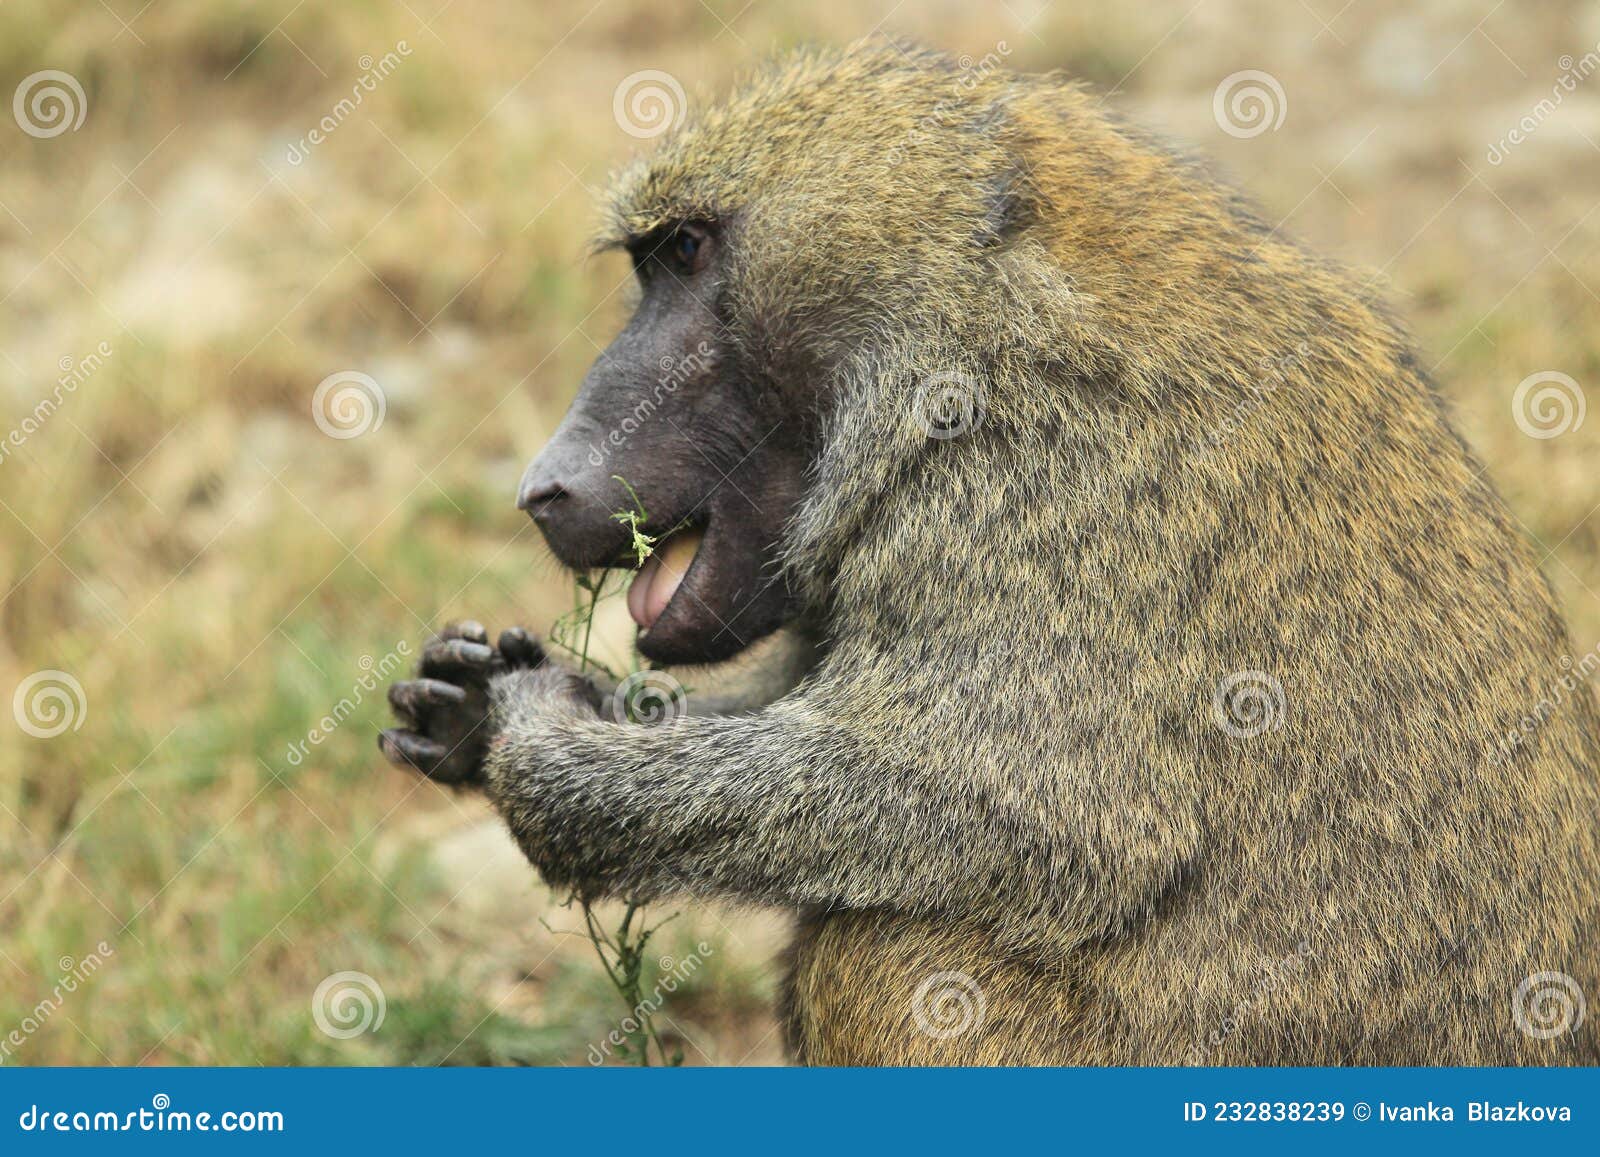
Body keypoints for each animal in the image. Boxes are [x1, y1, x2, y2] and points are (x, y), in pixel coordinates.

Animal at [379, 41, 1600, 1065]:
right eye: (656, 261)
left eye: (685, 251)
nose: (544, 487)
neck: (973, 328)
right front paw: (488, 704)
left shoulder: (1044, 487)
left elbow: (1031, 813)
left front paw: (537, 743)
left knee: (885, 948)